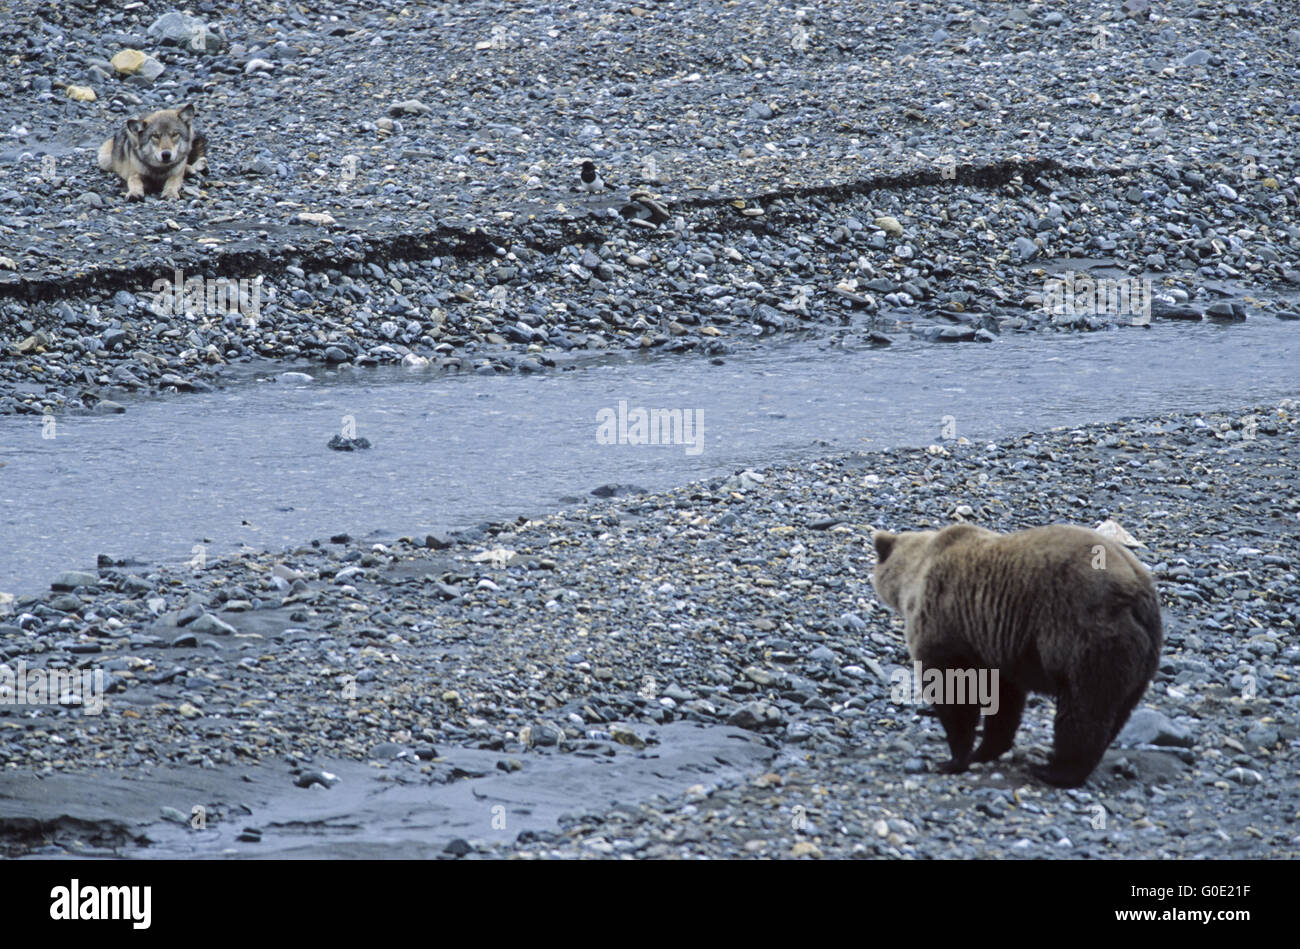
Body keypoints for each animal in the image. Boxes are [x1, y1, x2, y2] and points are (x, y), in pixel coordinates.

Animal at [871, 523, 1163, 787]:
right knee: (1118, 711)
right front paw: (985, 750)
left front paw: (954, 759)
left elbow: (954, 691)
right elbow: (1004, 700)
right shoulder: (998, 645)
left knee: (1083, 710)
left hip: (1086, 637)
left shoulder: (945, 624)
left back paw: (1055, 771)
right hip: (1143, 656)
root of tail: (1138, 590)